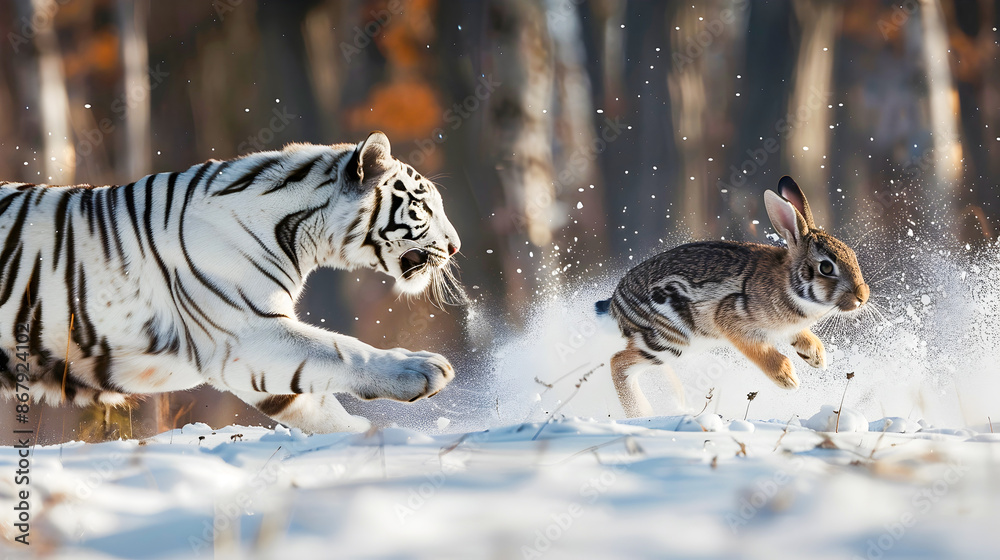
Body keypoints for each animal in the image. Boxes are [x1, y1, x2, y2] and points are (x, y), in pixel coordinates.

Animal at [0, 131, 463, 434]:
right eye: (424, 206)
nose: (456, 246)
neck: (301, 234)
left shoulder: (251, 354)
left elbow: (319, 406)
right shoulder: (246, 334)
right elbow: (342, 350)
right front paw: (423, 370)